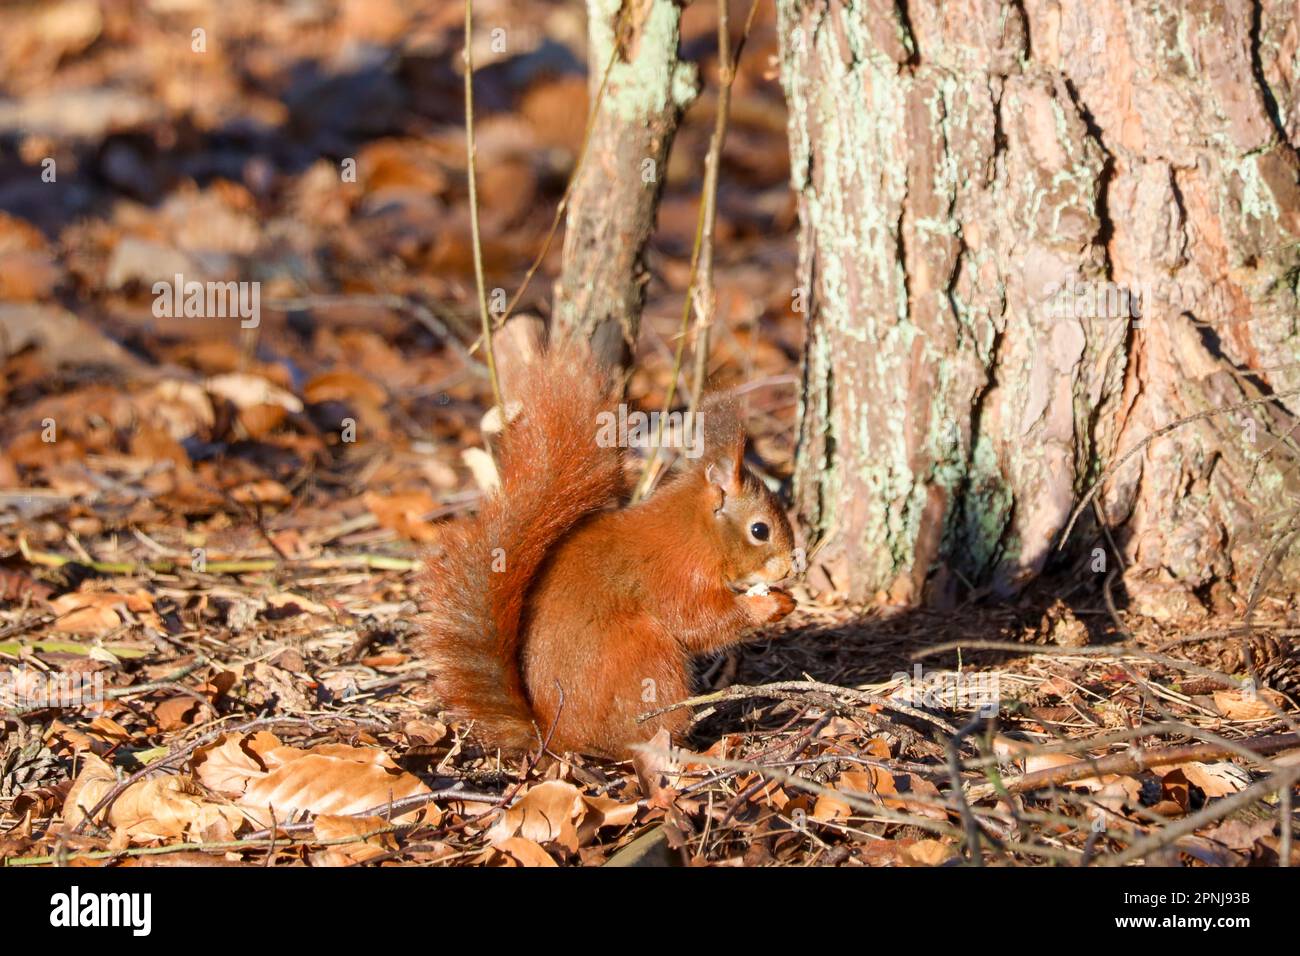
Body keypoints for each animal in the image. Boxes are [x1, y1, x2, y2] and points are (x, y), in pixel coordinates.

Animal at [417, 344, 796, 760]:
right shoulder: (675, 574)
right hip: (644, 656)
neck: (697, 533)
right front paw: (768, 605)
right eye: (760, 530)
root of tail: (555, 736)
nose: (789, 569)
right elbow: (698, 621)